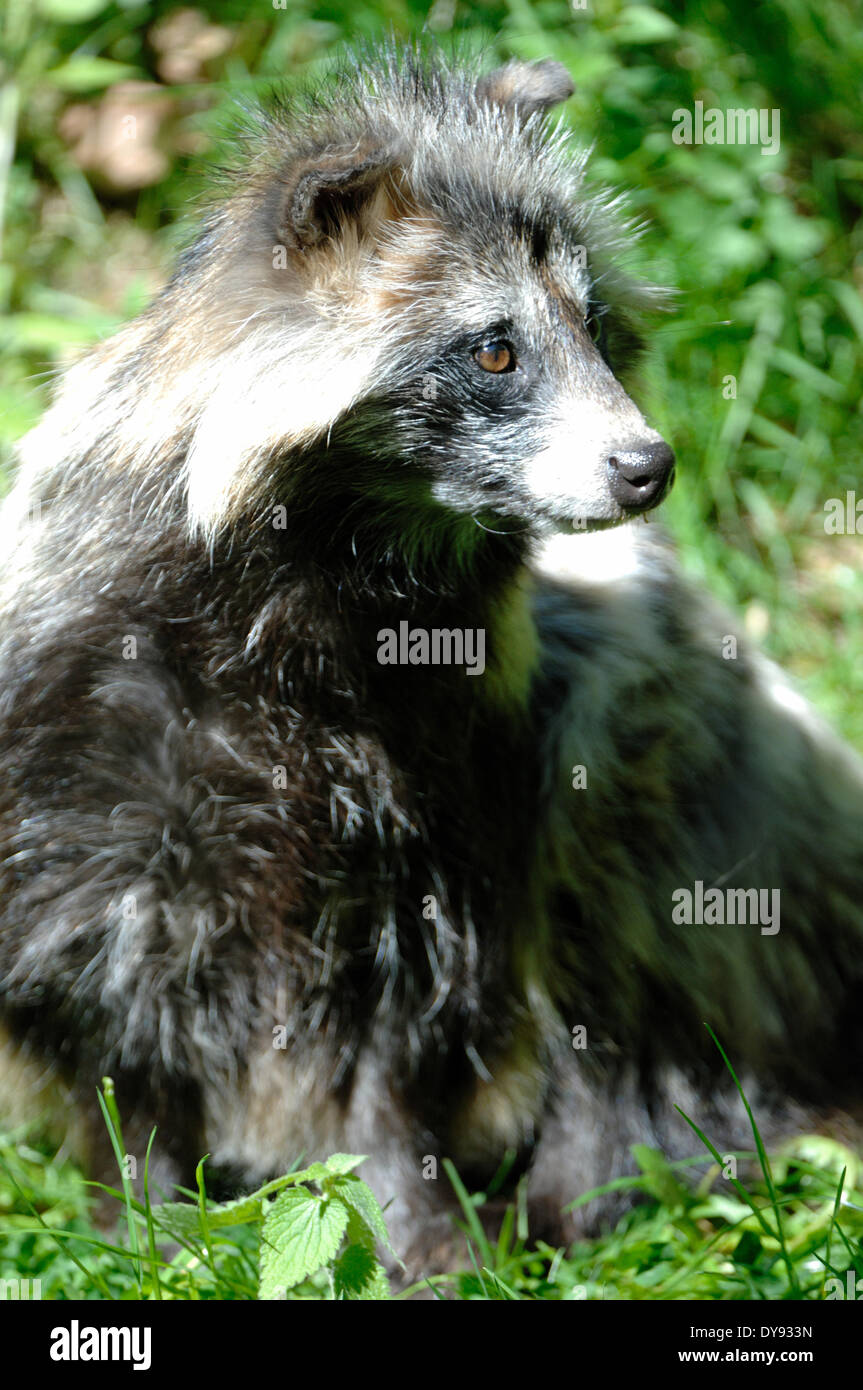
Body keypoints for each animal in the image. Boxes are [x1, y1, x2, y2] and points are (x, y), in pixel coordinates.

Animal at [1, 45, 862, 1280]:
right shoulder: (87, 746)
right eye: (495, 347)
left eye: (596, 330)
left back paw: (586, 1181)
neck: (355, 568)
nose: (648, 466)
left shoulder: (451, 786)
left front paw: (419, 1226)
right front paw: (150, 1215)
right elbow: (107, 997)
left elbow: (408, 1024)